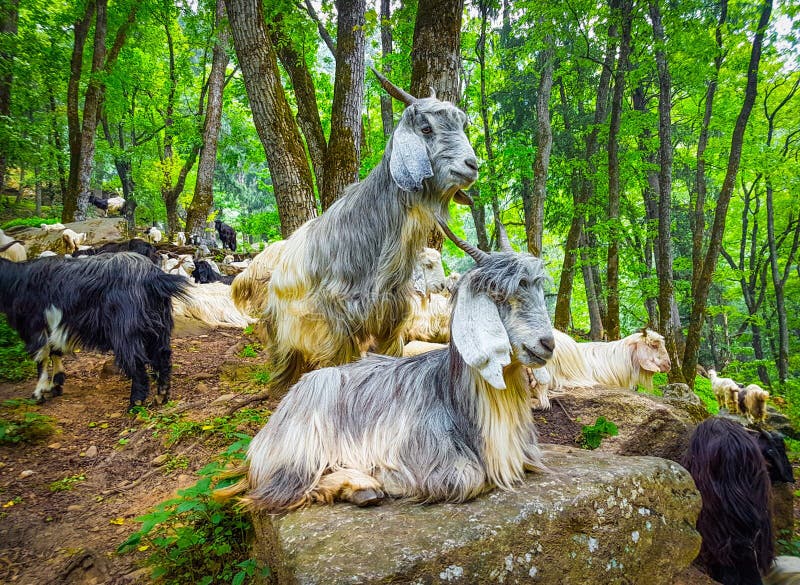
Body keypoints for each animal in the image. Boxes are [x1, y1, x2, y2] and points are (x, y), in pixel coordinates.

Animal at [0, 253, 189, 408]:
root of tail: (153, 276)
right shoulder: (55, 328)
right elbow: (55, 352)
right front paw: (56, 384)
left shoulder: (36, 326)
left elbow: (42, 357)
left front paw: (39, 393)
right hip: (158, 327)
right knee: (163, 357)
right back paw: (161, 396)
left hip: (126, 330)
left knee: (136, 362)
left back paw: (135, 403)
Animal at [214, 220, 554, 511]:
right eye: (499, 295)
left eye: (538, 289)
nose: (547, 344)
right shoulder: (432, 459)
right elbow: (469, 479)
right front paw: (390, 477)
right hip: (302, 437)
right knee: (281, 487)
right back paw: (362, 484)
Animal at [254, 71, 478, 390]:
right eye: (426, 128)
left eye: (461, 125)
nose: (472, 165)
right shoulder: (338, 326)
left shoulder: (393, 318)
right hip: (283, 334)